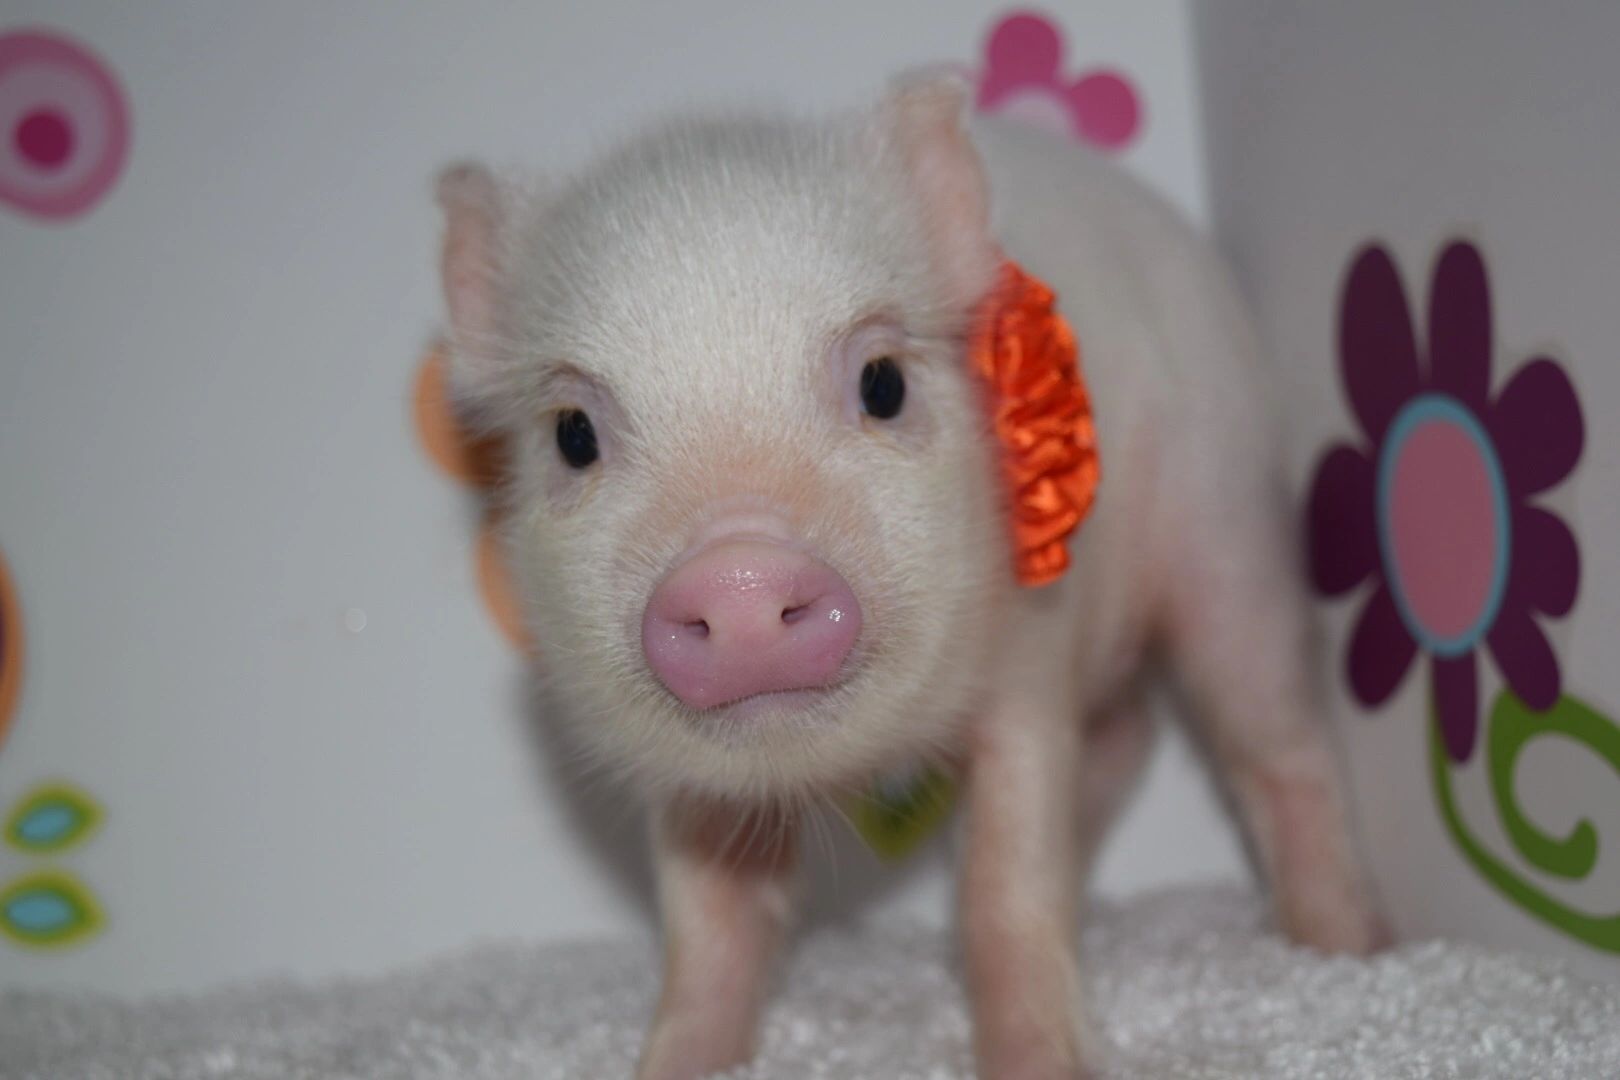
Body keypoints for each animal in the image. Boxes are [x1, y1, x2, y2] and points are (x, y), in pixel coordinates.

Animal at [433, 72, 1385, 1080]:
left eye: (883, 382)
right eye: (573, 434)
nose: (738, 576)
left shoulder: (1028, 667)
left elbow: (1005, 881)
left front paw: (1042, 1065)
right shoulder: (689, 788)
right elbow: (708, 927)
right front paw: (674, 1063)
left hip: (1230, 525)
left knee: (1277, 741)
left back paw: (1346, 950)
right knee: (1128, 736)